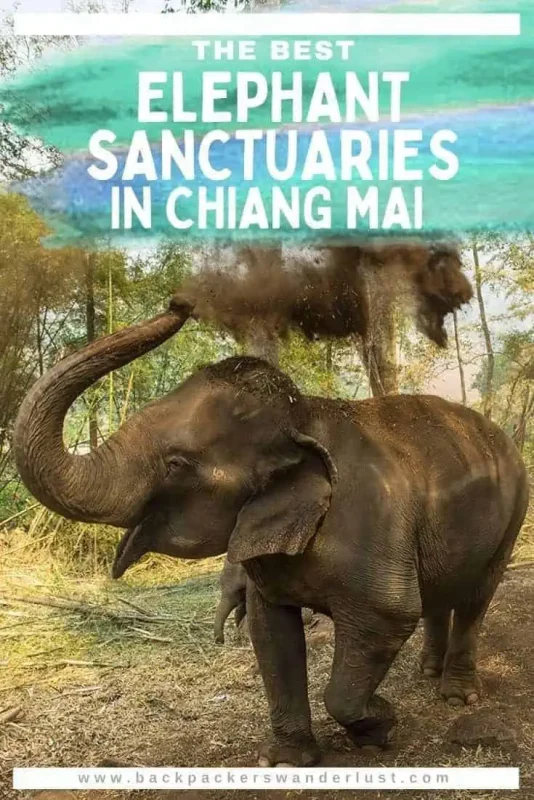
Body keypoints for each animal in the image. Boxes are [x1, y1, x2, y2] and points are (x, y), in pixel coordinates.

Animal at [13, 295, 529, 767]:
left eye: (177, 464)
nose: (181, 301)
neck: (303, 415)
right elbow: (271, 630)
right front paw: (284, 760)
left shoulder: (377, 530)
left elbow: (388, 615)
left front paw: (379, 723)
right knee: (441, 594)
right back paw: (425, 671)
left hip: (514, 511)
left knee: (476, 597)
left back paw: (457, 696)